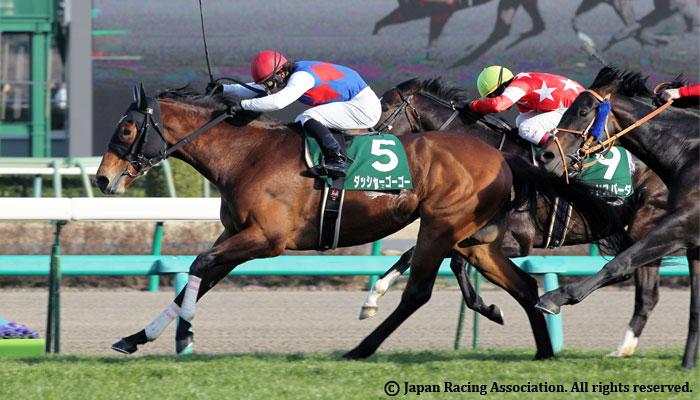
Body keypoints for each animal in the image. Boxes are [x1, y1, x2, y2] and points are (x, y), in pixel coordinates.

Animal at [94, 83, 627, 360]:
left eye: (127, 128)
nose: (102, 179)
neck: (247, 154)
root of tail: (502, 160)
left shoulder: (267, 239)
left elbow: (199, 266)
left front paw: (184, 336)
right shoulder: (238, 232)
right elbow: (201, 275)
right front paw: (138, 337)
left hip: (440, 227)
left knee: (419, 292)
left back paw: (361, 347)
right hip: (471, 237)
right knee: (521, 285)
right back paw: (543, 351)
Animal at [367, 76, 669, 357]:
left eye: (385, 107)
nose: (362, 140)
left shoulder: (515, 240)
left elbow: (454, 262)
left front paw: (491, 309)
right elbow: (417, 254)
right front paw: (374, 295)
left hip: (646, 221)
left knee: (640, 284)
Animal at [535, 67, 699, 368]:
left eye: (583, 111)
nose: (546, 156)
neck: (689, 153)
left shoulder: (683, 223)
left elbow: (620, 263)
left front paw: (554, 298)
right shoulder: (694, 242)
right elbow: (696, 304)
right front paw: (688, 363)